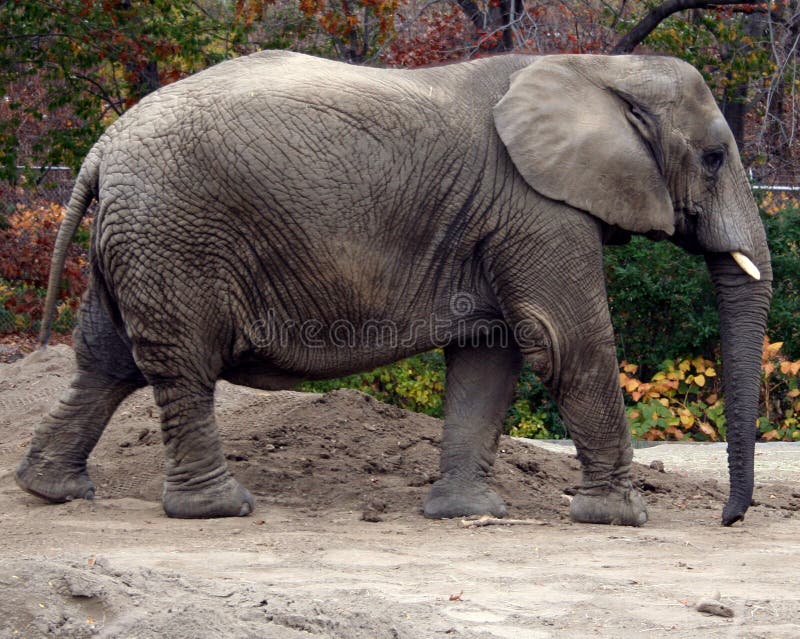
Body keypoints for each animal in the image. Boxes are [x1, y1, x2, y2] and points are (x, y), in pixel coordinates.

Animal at [16, 50, 771, 527]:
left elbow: (489, 355)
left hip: (138, 238)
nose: (728, 519)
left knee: (105, 360)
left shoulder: (500, 218)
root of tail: (101, 148)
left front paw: (468, 514)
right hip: (177, 237)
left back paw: (51, 490)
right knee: (181, 365)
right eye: (713, 158)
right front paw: (621, 517)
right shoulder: (537, 208)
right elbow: (565, 342)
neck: (599, 68)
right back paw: (220, 508)